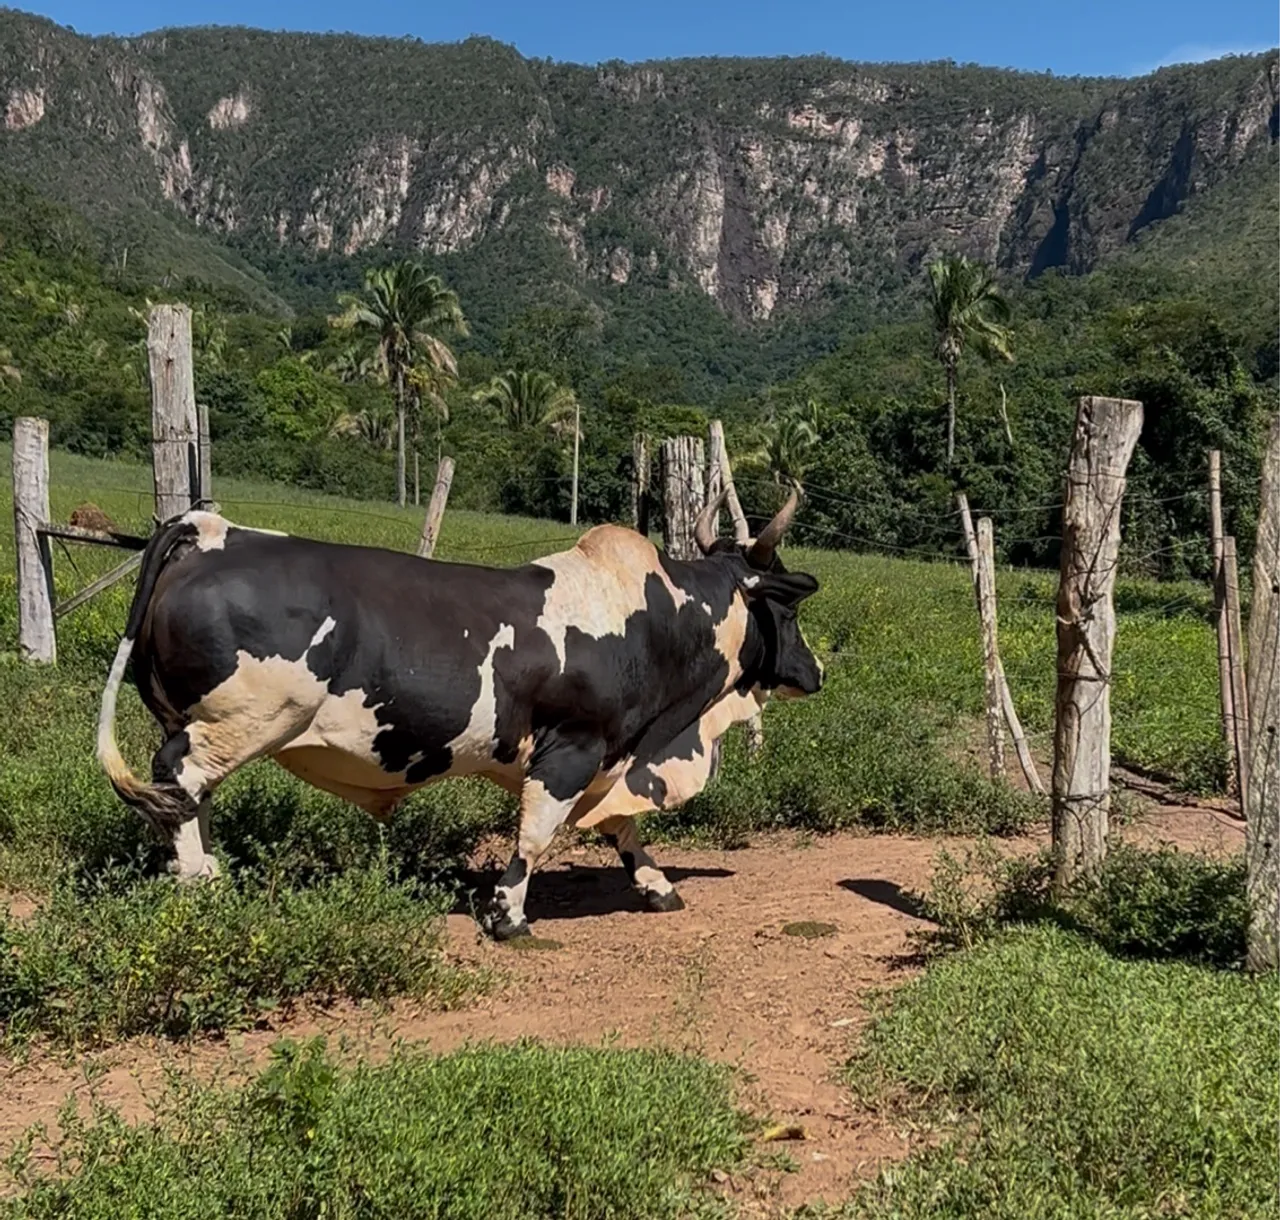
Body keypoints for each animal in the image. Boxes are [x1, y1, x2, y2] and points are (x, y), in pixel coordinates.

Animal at [96, 488, 823, 938]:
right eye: (788, 610)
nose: (816, 672)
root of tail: (216, 534)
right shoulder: (573, 749)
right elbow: (535, 836)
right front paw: (508, 915)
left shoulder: (611, 756)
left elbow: (623, 830)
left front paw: (655, 885)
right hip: (239, 724)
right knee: (179, 779)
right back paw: (199, 884)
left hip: (201, 722)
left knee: (189, 798)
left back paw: (204, 872)